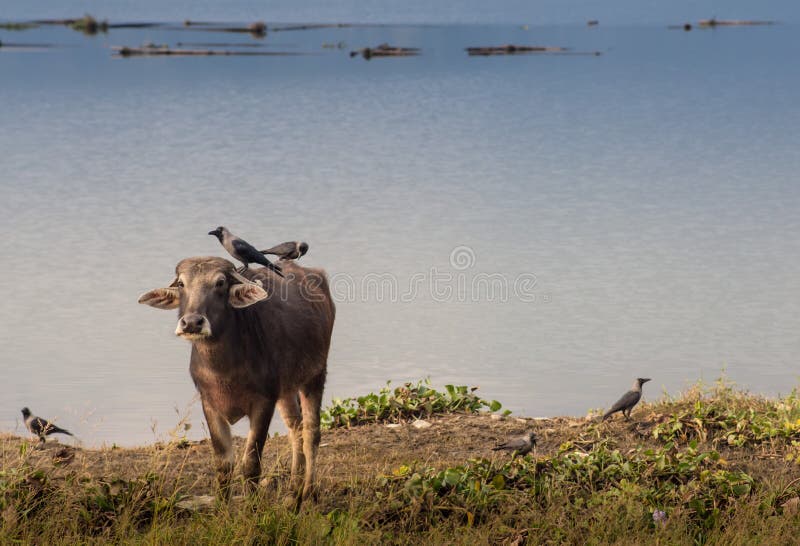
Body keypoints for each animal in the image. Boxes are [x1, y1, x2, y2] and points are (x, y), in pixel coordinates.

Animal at [138, 256, 335, 502]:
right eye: (182, 284)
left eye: (220, 283)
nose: (192, 323)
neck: (224, 372)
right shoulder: (209, 403)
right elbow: (223, 465)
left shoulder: (264, 402)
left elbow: (251, 463)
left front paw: (252, 507)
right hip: (286, 390)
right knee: (295, 427)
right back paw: (293, 493)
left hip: (315, 375)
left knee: (311, 432)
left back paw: (309, 492)